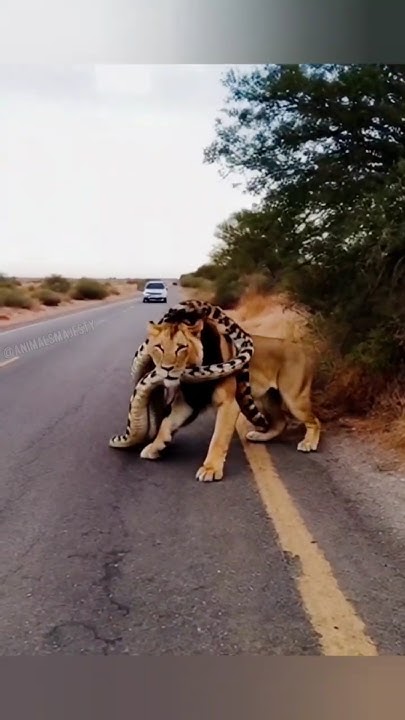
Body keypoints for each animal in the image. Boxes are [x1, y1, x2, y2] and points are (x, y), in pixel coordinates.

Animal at [138, 317, 321, 482]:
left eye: (181, 347)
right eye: (159, 347)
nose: (167, 368)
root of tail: (301, 348)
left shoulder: (228, 404)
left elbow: (218, 438)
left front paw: (211, 469)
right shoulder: (187, 404)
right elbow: (165, 424)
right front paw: (154, 447)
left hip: (294, 398)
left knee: (315, 421)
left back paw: (308, 443)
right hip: (267, 398)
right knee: (280, 422)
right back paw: (259, 436)